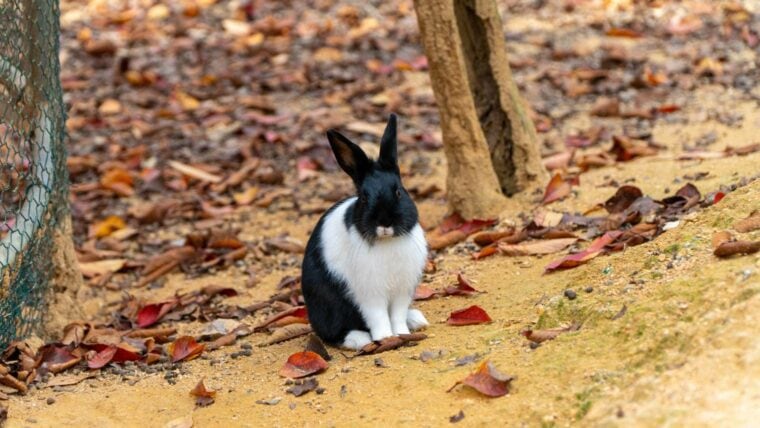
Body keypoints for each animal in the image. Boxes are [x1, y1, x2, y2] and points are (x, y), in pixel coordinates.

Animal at [301, 113, 429, 350]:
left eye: (399, 192)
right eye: (363, 198)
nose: (384, 223)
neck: (387, 242)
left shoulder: (402, 290)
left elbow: (397, 315)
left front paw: (402, 333)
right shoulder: (369, 294)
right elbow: (378, 317)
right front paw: (386, 338)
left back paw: (416, 320)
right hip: (328, 306)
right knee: (333, 332)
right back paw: (359, 339)